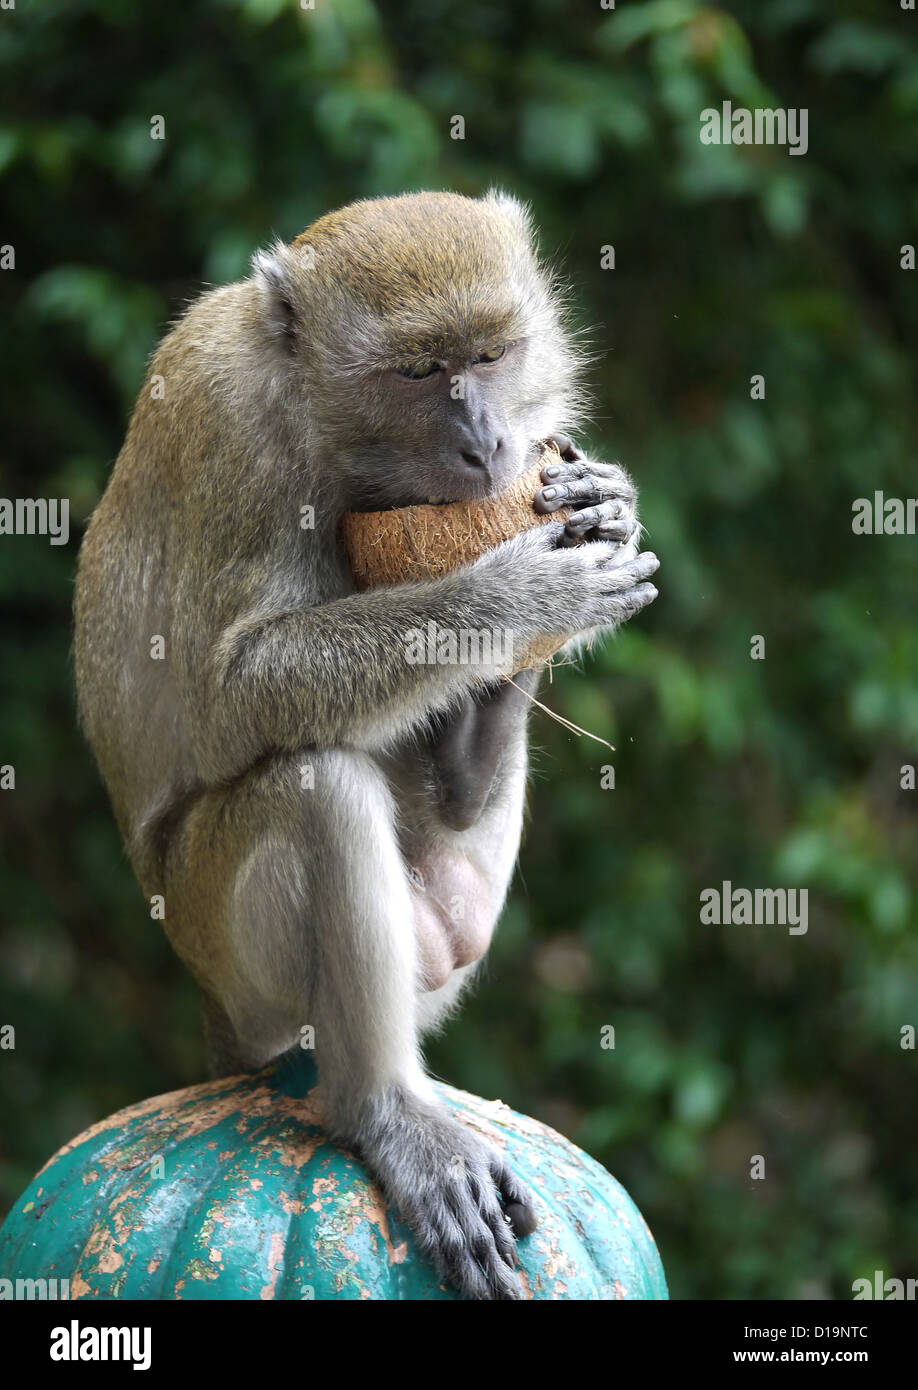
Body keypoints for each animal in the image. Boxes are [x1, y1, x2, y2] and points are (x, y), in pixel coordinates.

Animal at [73, 190, 659, 1300]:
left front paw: (602, 499)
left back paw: (478, 748)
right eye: (419, 372)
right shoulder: (236, 438)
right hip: (233, 956)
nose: (486, 444)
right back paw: (385, 1112)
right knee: (312, 785)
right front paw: (516, 595)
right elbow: (230, 692)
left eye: (492, 354)